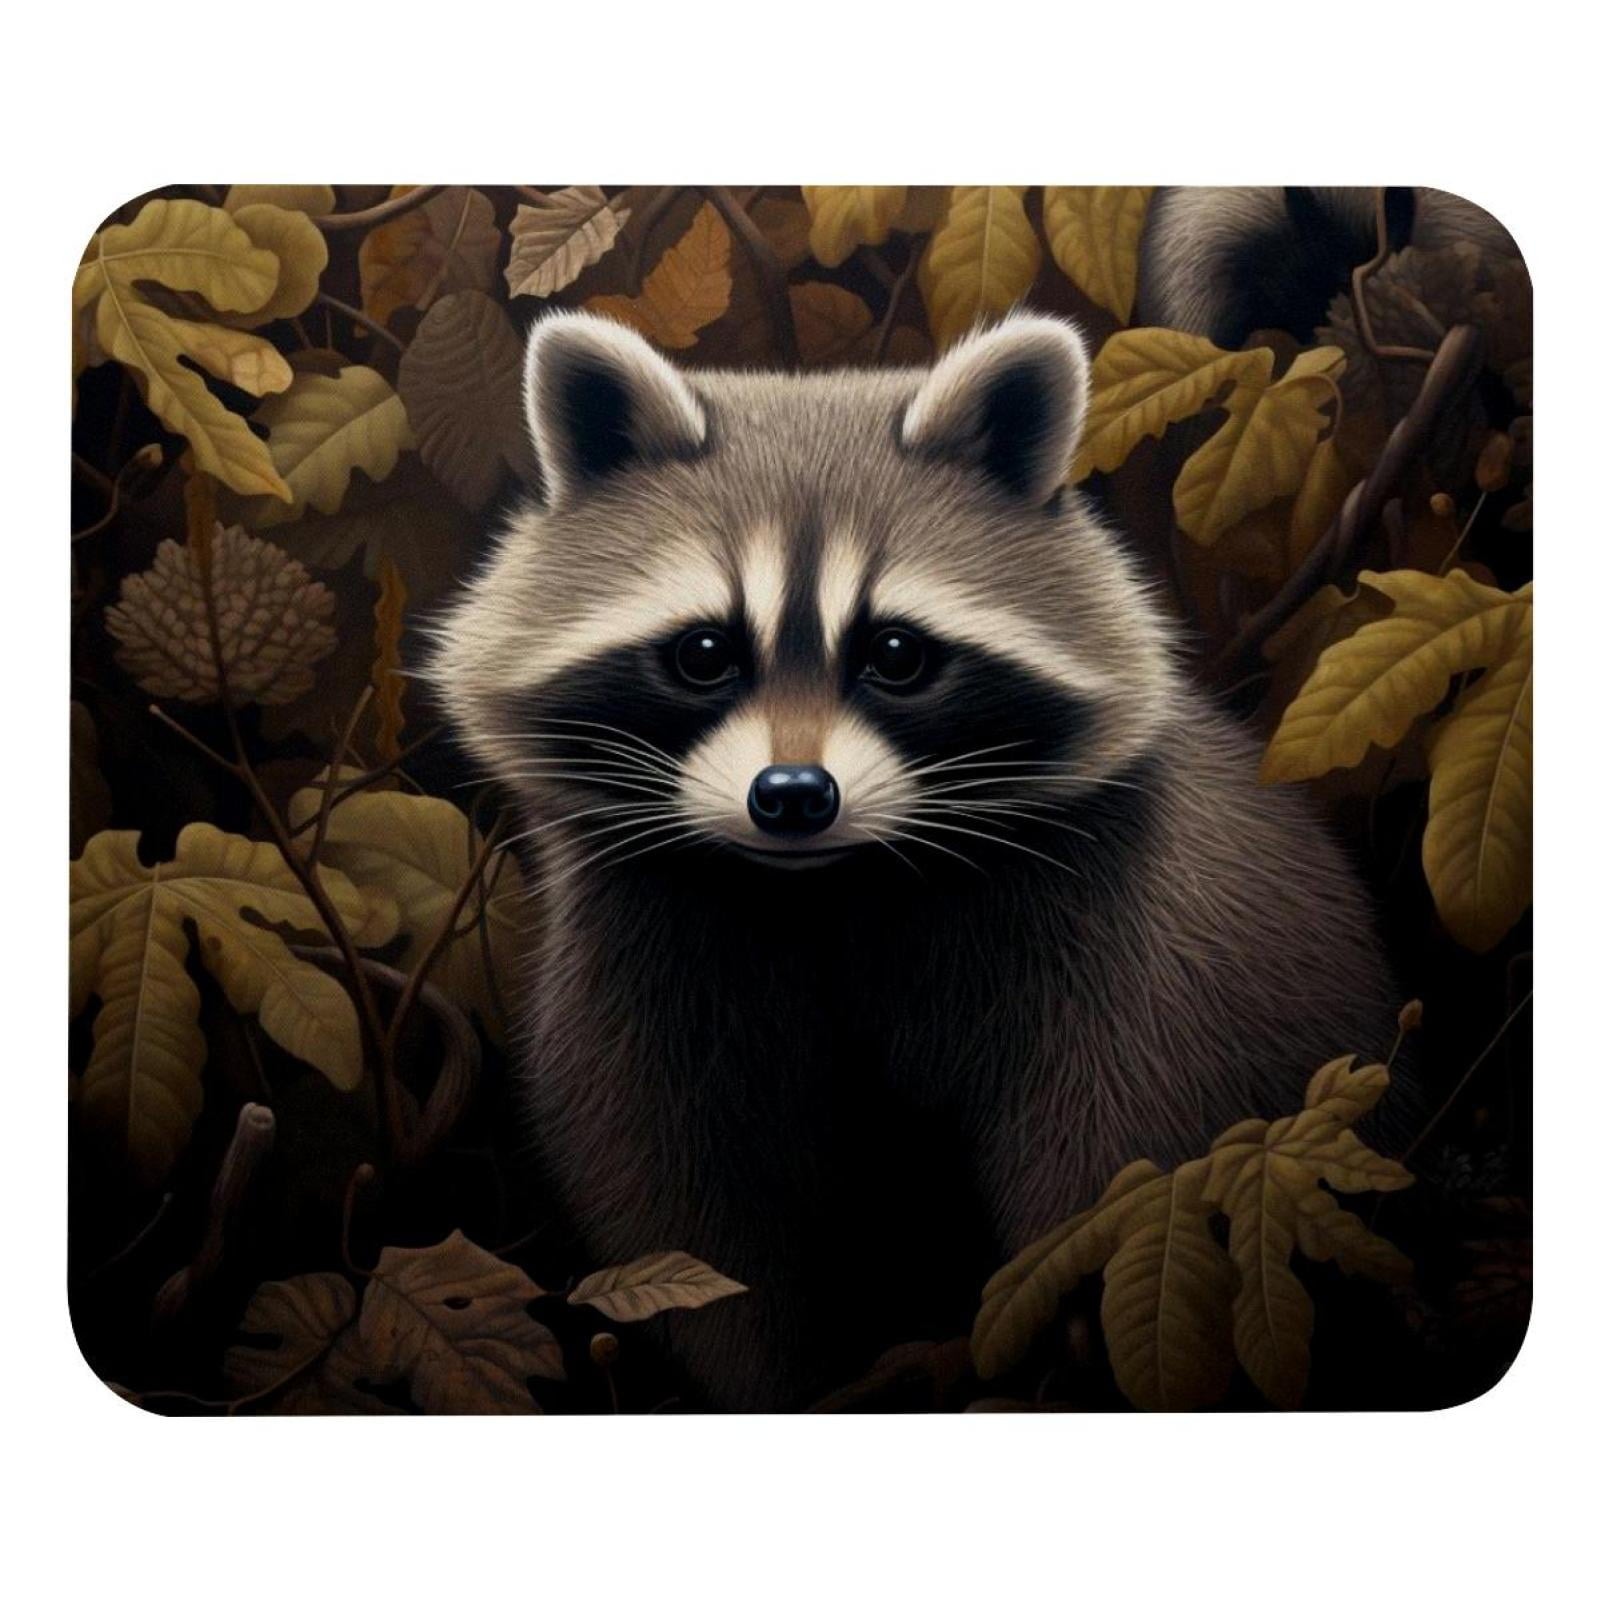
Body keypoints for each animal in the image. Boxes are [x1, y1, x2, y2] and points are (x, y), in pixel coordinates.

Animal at [427, 310, 1396, 1409]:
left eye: (894, 652)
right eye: (704, 652)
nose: (791, 795)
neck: (828, 886)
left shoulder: (1129, 933)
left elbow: (1117, 1156)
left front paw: (1054, 1343)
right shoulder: (649, 948)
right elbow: (683, 1189)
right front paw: (761, 1371)